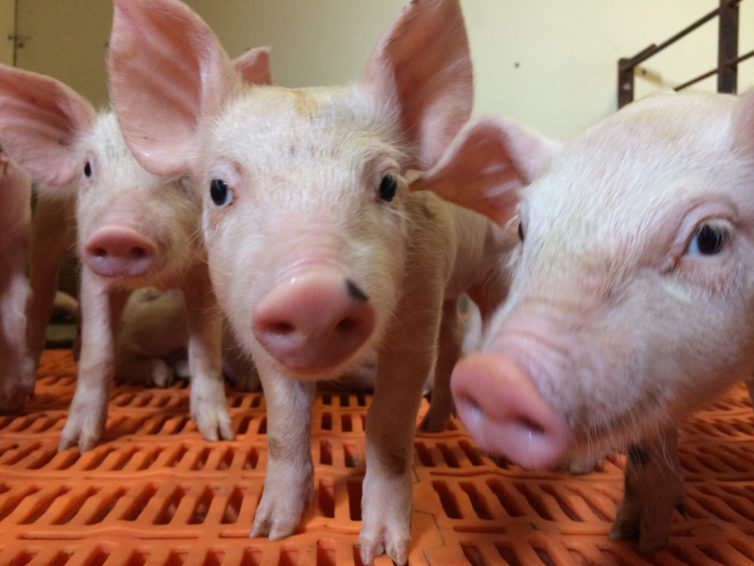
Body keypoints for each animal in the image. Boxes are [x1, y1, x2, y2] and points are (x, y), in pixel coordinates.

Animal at [0, 53, 272, 450]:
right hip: (43, 232)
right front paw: (76, 445)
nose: (117, 232)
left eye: (182, 174)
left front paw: (218, 435)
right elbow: (99, 354)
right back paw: (30, 387)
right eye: (87, 168)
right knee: (41, 303)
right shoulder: (95, 277)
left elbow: (205, 350)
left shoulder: (202, 276)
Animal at [107, 0, 513, 562]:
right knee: (453, 341)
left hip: (490, 272)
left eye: (389, 183)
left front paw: (382, 550)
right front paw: (268, 531)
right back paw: (434, 426)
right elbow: (284, 426)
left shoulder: (419, 307)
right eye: (218, 189)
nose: (311, 293)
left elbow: (388, 424)